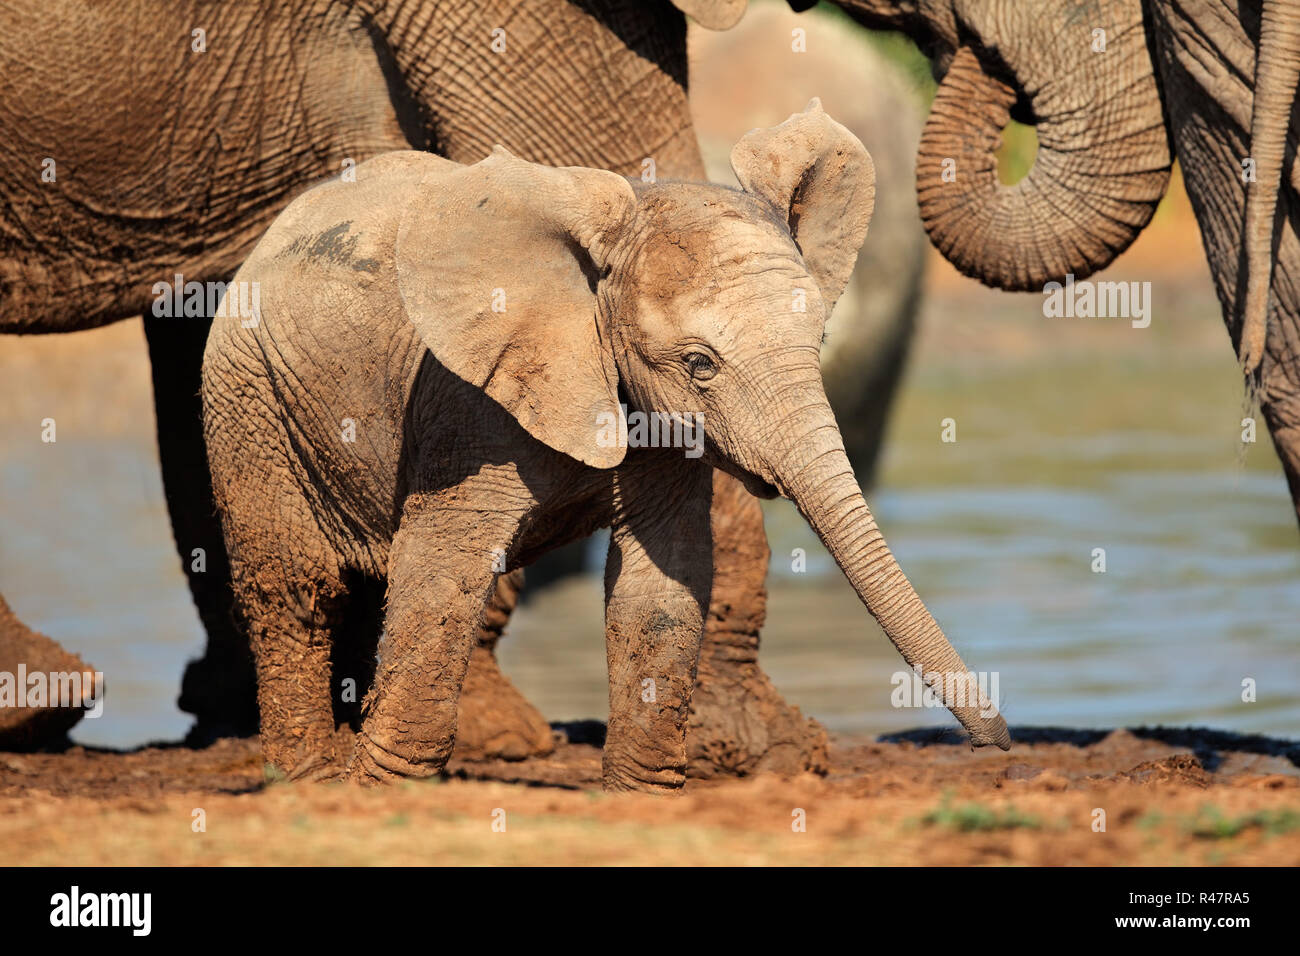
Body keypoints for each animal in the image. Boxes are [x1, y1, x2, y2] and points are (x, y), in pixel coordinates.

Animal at [200, 103, 1011, 788]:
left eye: (817, 344)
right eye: (700, 364)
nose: (997, 749)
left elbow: (661, 581)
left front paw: (644, 797)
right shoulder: (468, 399)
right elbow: (443, 570)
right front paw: (382, 790)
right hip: (247, 393)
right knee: (295, 586)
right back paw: (310, 780)